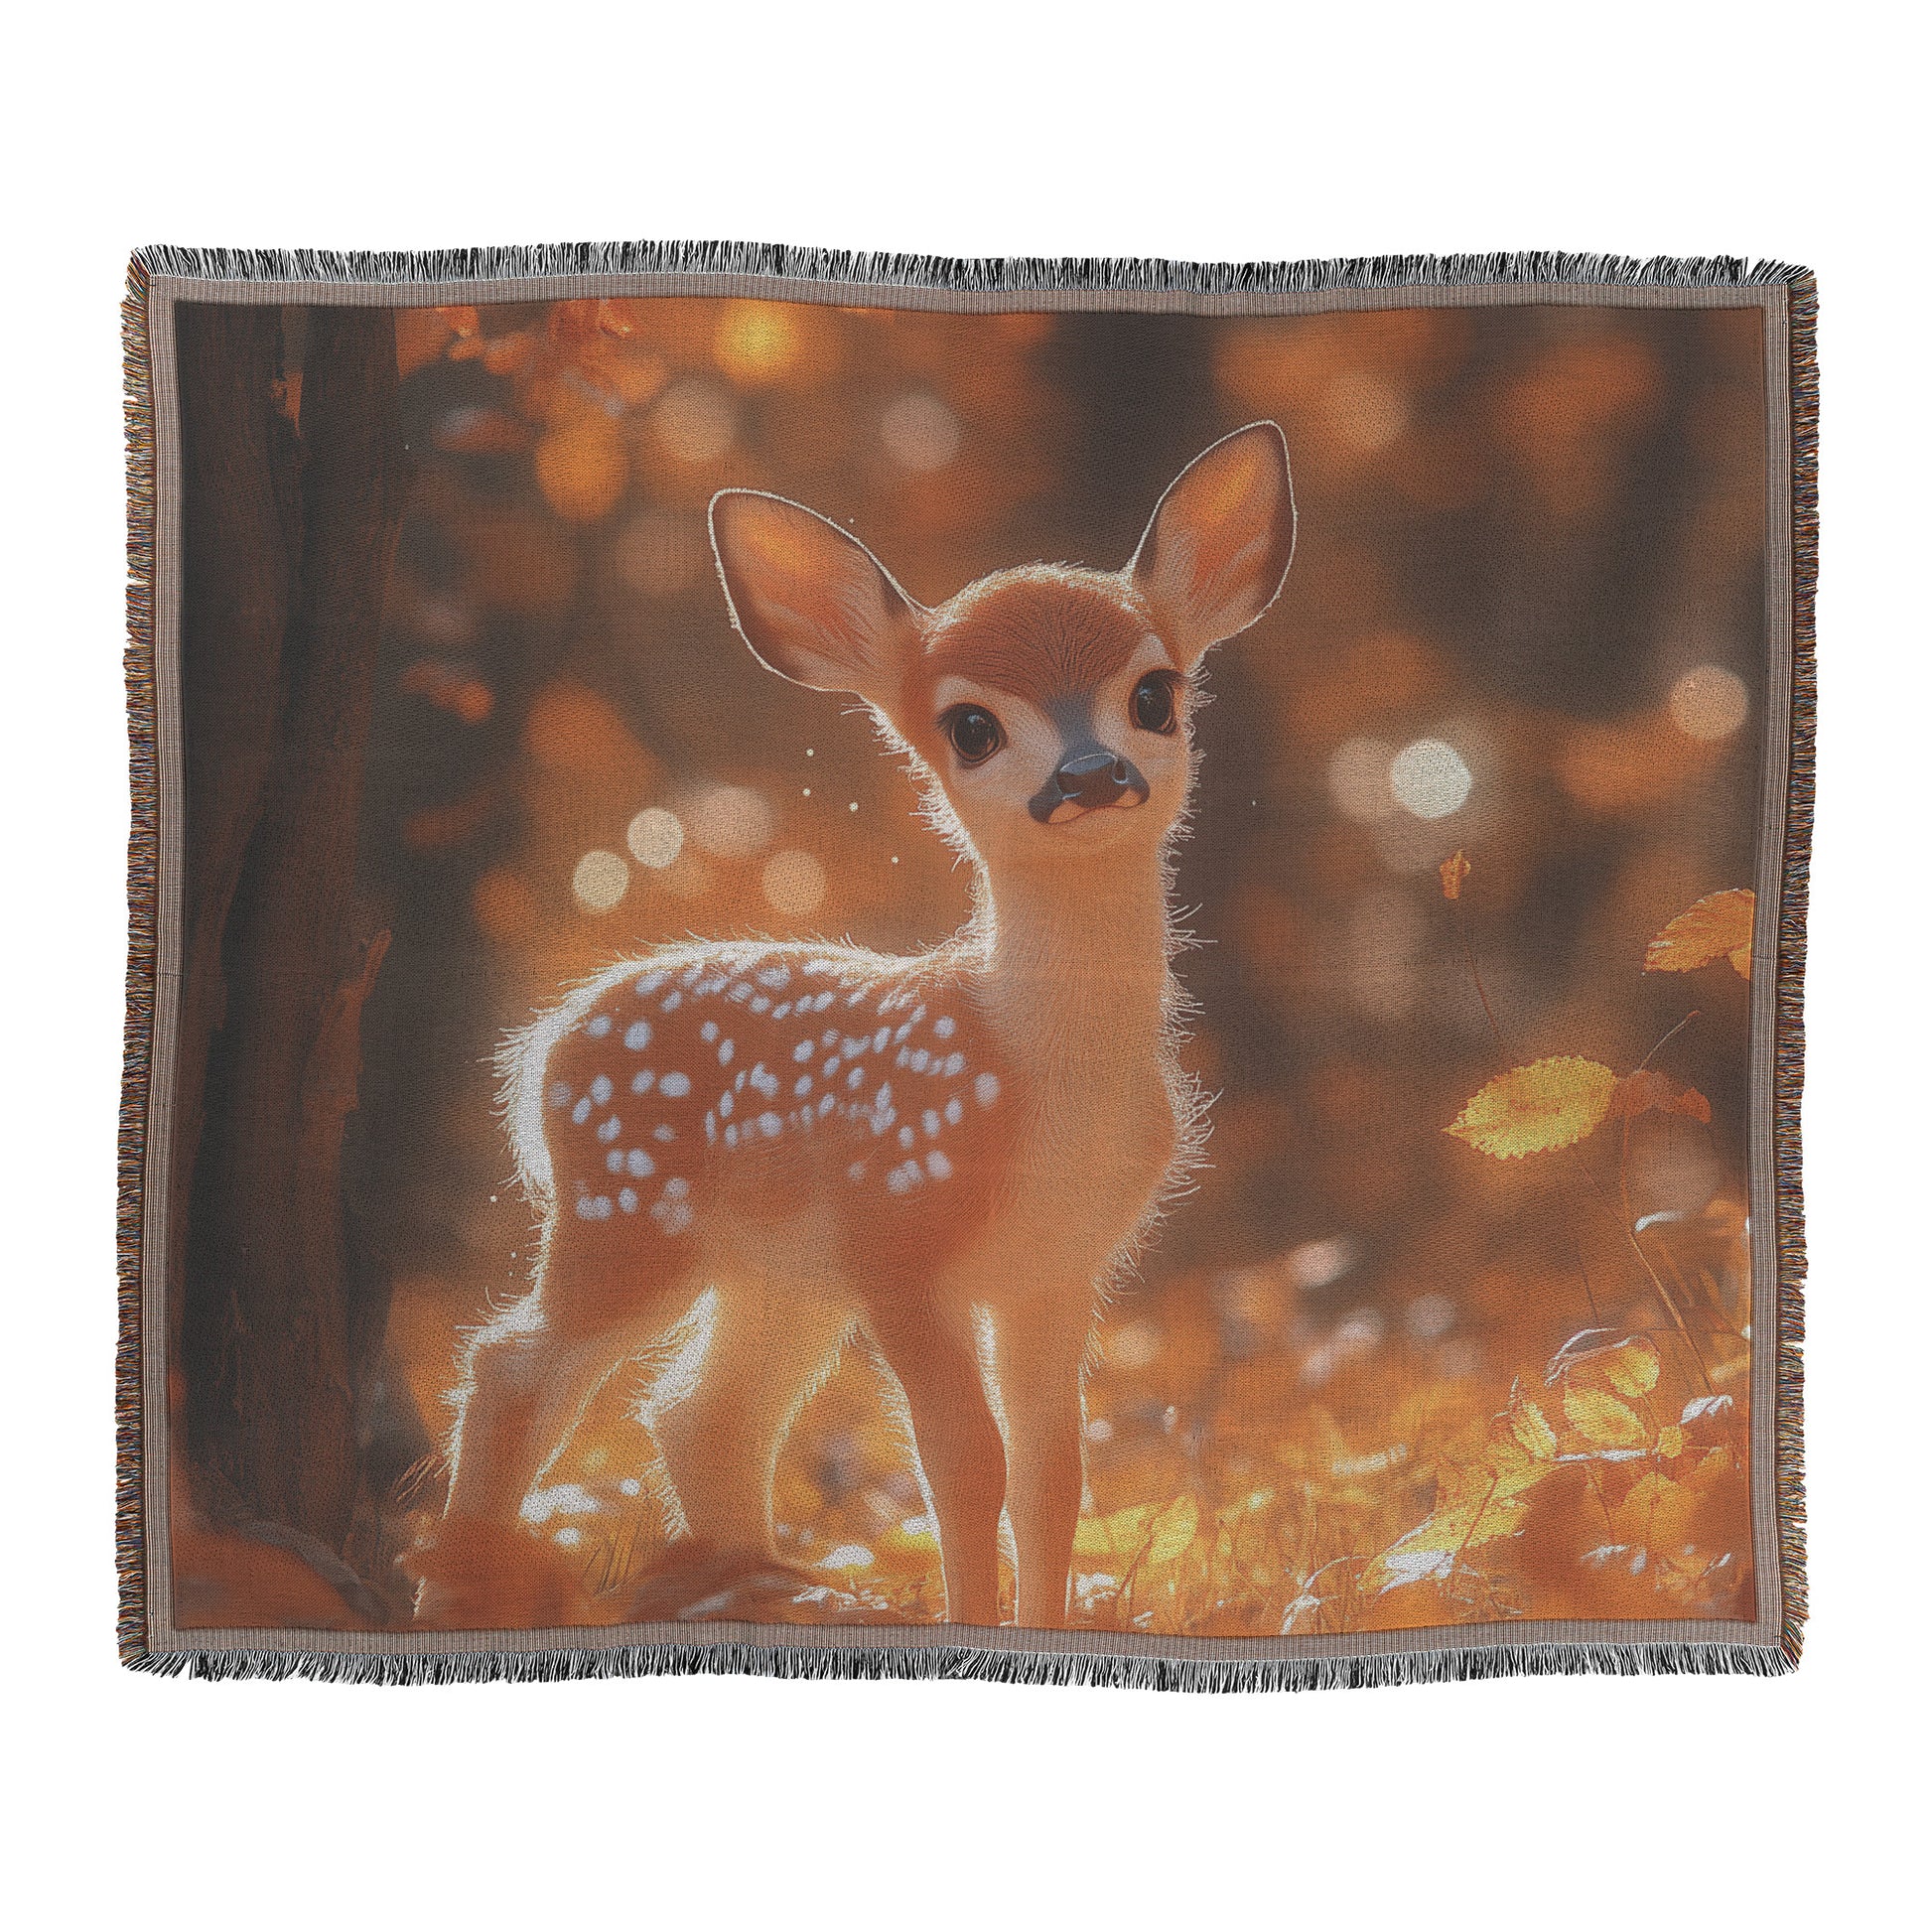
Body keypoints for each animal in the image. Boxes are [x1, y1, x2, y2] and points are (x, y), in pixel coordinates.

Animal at [407, 421, 1296, 1631]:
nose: (1089, 775)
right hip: (629, 1215)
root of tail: (544, 1046)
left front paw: (1044, 1625)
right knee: (515, 1365)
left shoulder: (1056, 1267)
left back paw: (743, 1594)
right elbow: (963, 1464)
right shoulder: (898, 1239)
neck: (1039, 1077)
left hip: (778, 1272)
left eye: (1154, 694)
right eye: (970, 725)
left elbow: (1055, 1472)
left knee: (702, 1412)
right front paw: (976, 1628)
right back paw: (460, 1594)